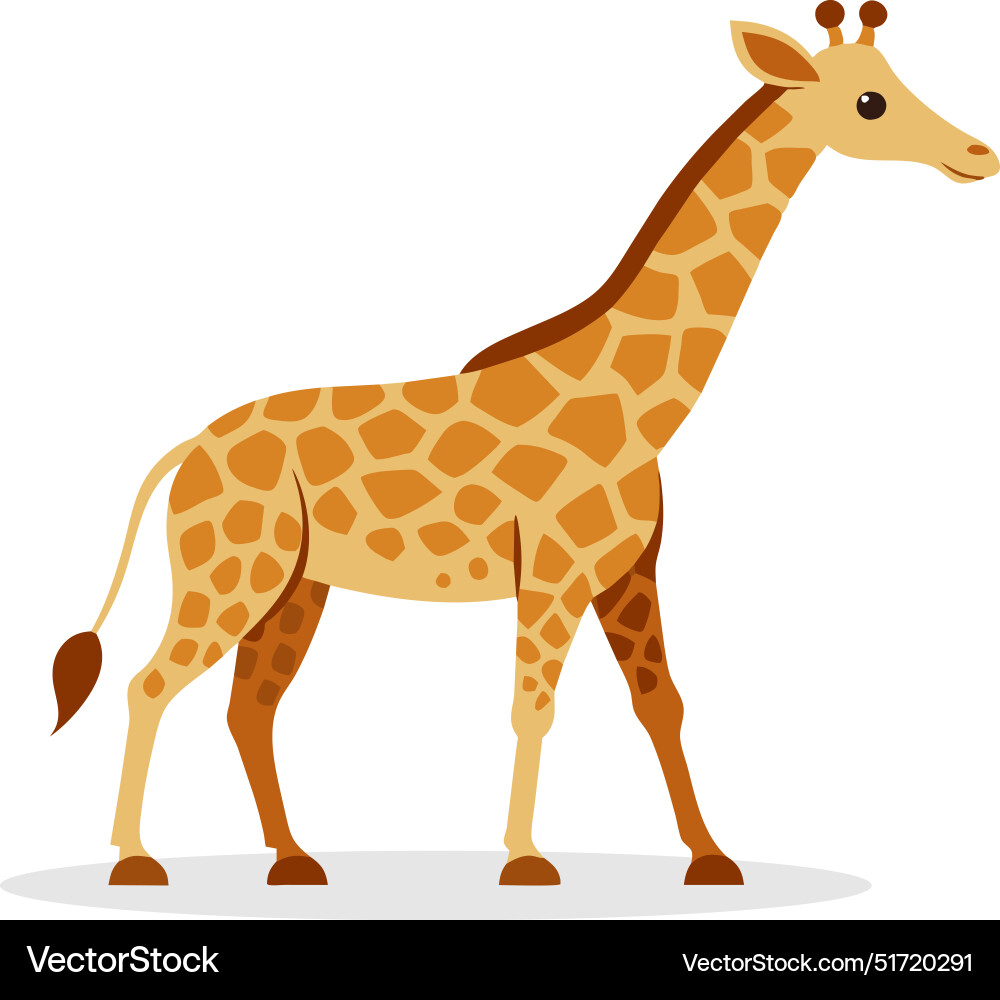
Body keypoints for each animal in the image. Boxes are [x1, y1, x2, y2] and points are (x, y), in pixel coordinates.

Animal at [51, 3, 996, 887]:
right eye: (871, 103)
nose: (979, 154)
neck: (644, 406)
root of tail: (186, 450)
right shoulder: (551, 572)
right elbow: (532, 707)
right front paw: (526, 861)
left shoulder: (630, 573)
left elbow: (662, 704)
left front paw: (710, 857)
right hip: (230, 572)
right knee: (149, 683)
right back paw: (136, 861)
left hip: (295, 587)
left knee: (249, 706)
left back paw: (292, 859)